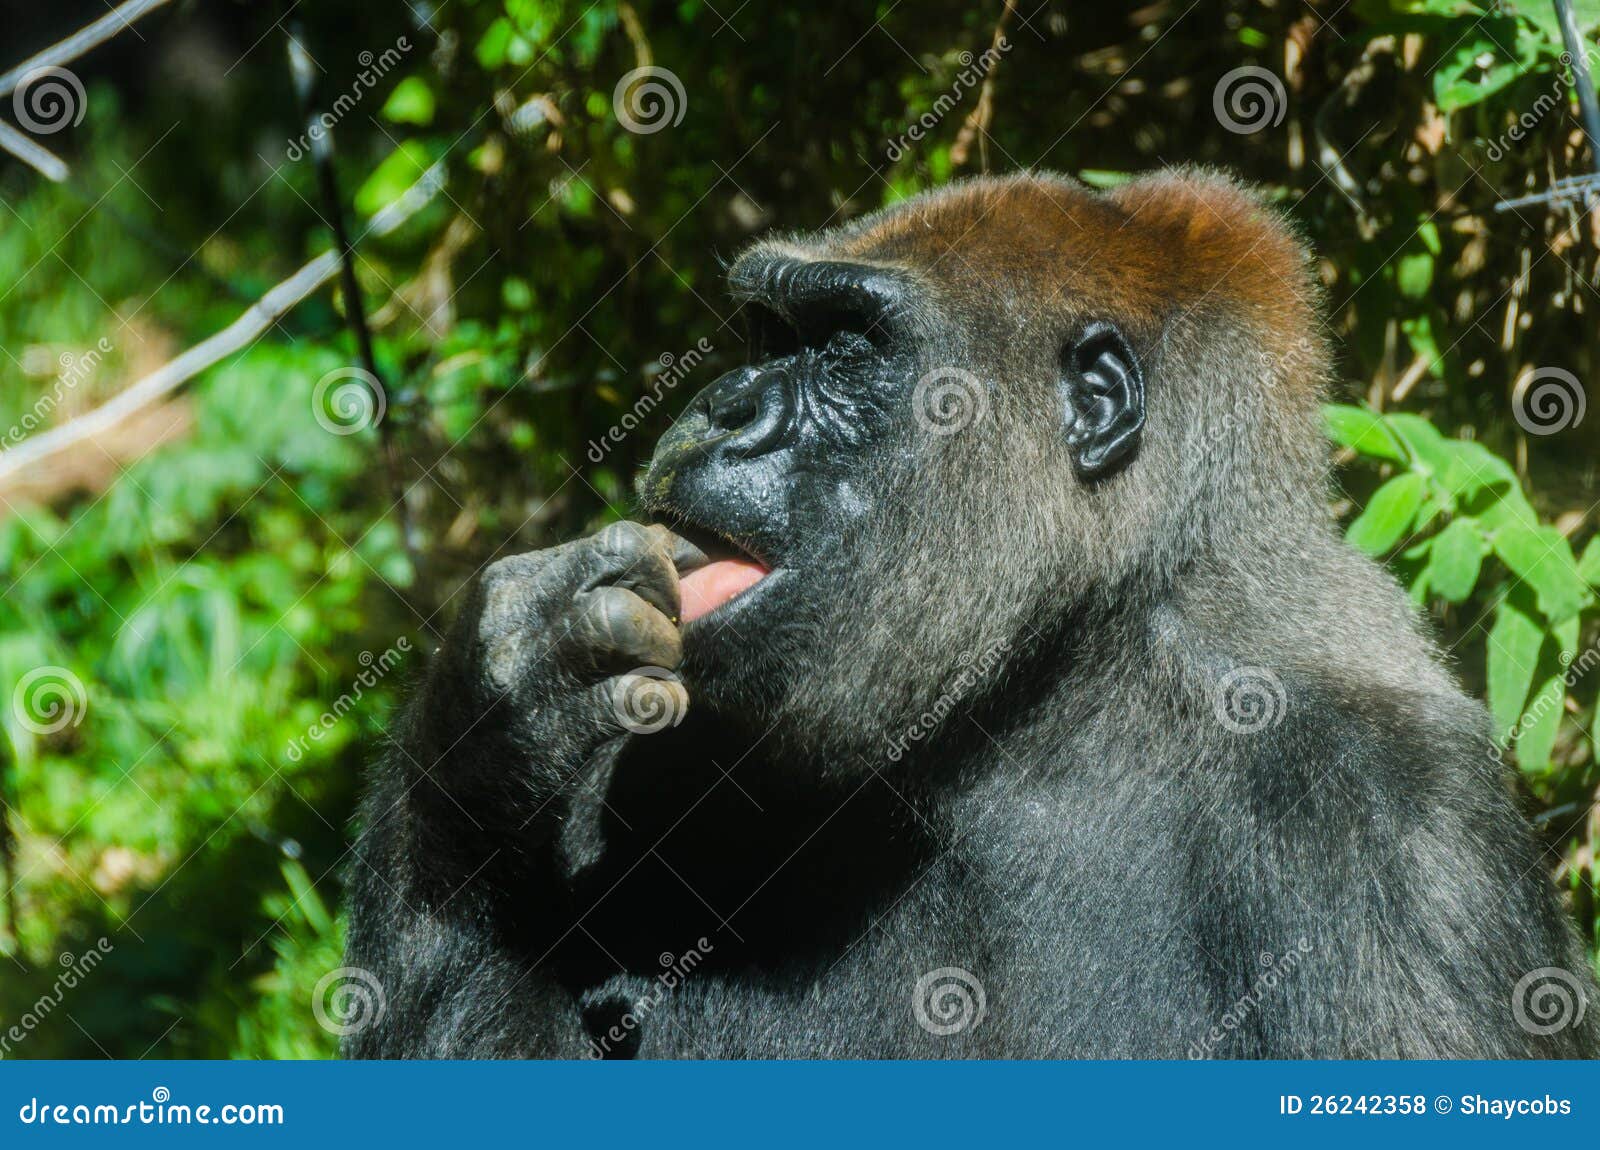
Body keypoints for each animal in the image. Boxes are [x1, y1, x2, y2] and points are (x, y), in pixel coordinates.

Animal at [344, 169, 1600, 1058]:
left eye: (846, 348)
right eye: (767, 338)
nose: (718, 407)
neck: (1050, 685)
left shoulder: (1401, 828)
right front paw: (493, 719)